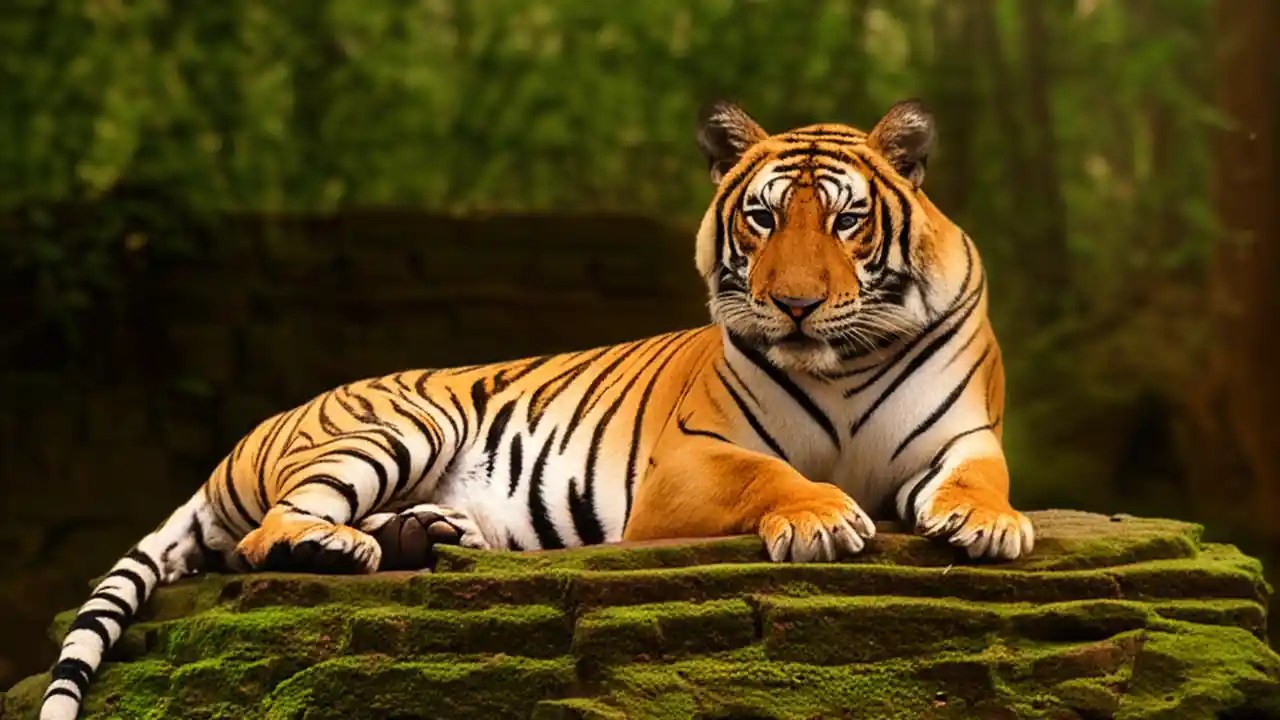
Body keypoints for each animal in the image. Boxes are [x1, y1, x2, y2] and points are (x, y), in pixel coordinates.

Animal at [40, 98, 1033, 720]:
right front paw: (823, 518)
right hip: (393, 425)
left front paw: (990, 526)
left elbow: (983, 479)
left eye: (844, 221)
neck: (843, 358)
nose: (791, 305)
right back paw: (345, 547)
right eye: (760, 219)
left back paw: (428, 535)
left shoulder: (960, 437)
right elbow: (770, 473)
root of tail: (230, 449)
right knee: (266, 534)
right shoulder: (689, 460)